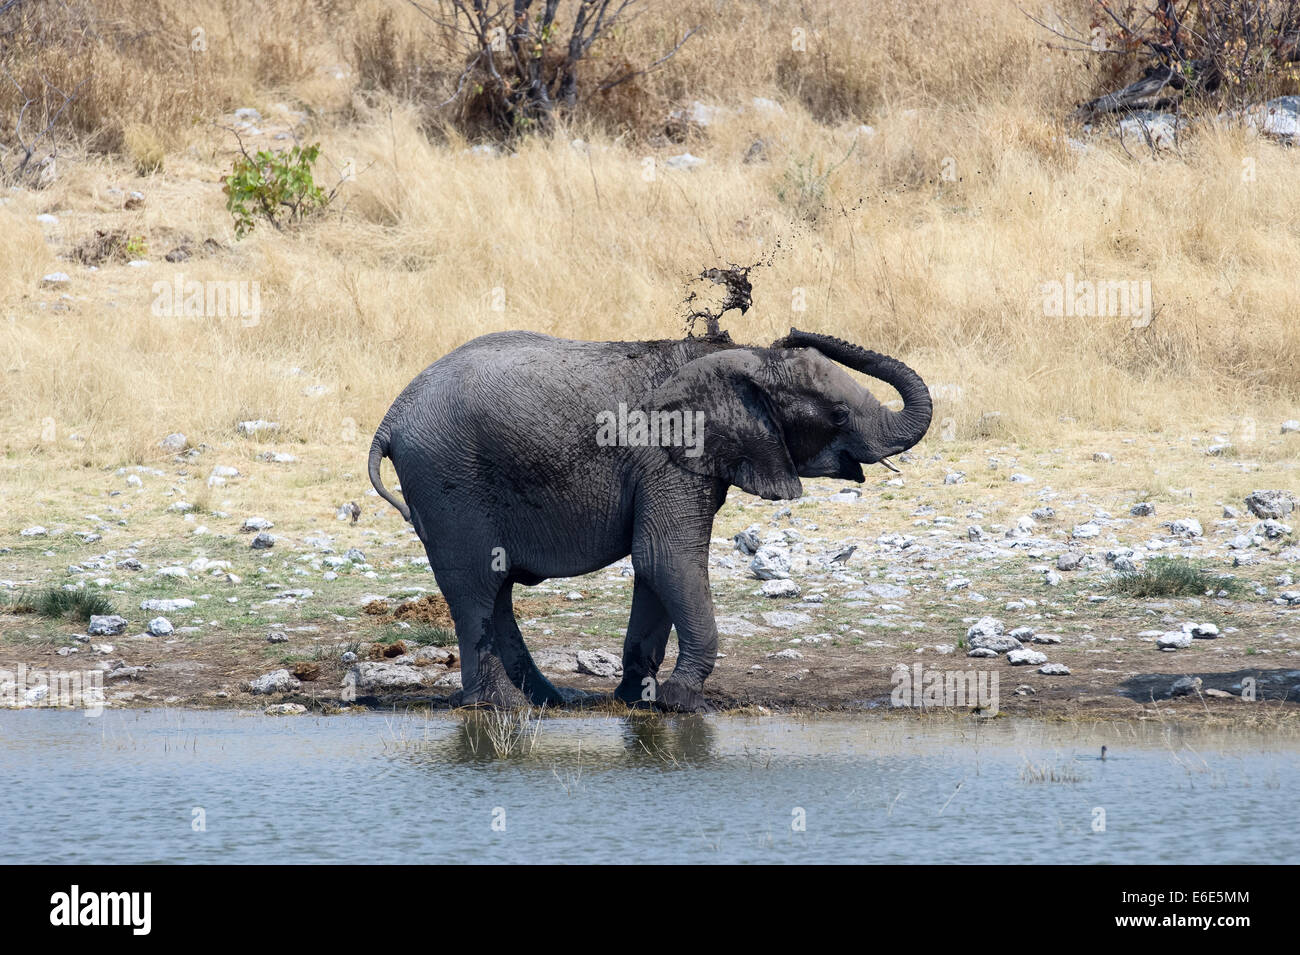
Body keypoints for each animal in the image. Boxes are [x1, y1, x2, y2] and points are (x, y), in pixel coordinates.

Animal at [368, 328, 932, 712]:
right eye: (837, 415)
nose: (793, 331)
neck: (733, 360)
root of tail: (390, 420)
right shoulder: (667, 456)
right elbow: (666, 558)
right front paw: (684, 704)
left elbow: (655, 570)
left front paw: (639, 700)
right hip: (448, 480)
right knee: (477, 588)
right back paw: (503, 708)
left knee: (496, 590)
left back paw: (551, 701)